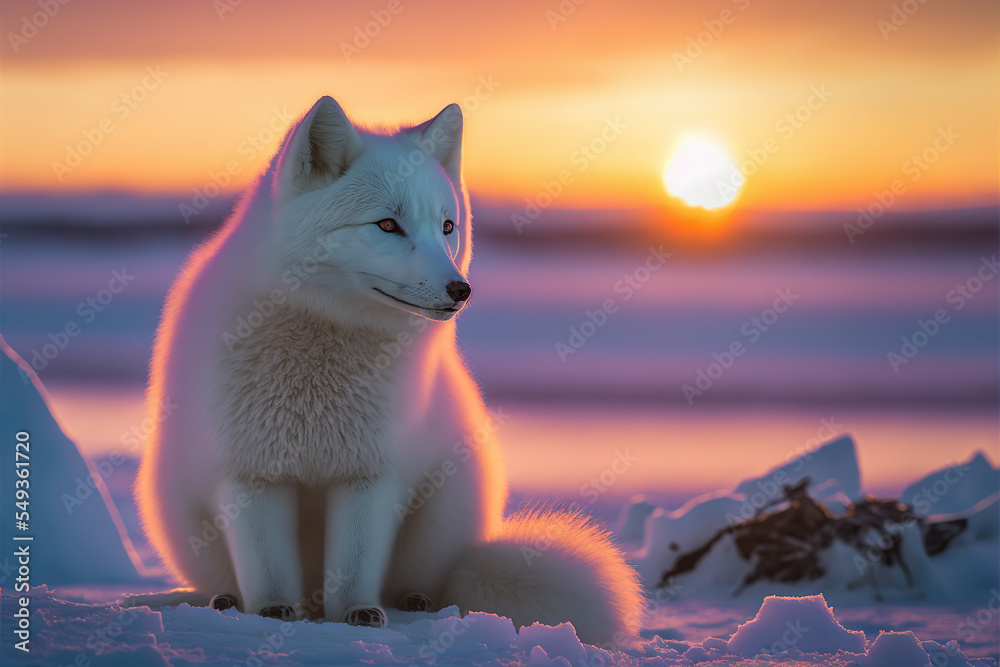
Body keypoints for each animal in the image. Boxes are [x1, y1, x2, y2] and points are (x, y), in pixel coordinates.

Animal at [134, 95, 643, 646]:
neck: (322, 362)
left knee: (425, 584)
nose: (461, 290)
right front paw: (273, 616)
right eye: (386, 226)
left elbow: (355, 570)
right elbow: (269, 574)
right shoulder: (251, 474)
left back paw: (413, 603)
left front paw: (356, 617)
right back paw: (227, 603)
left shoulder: (372, 476)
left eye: (447, 227)